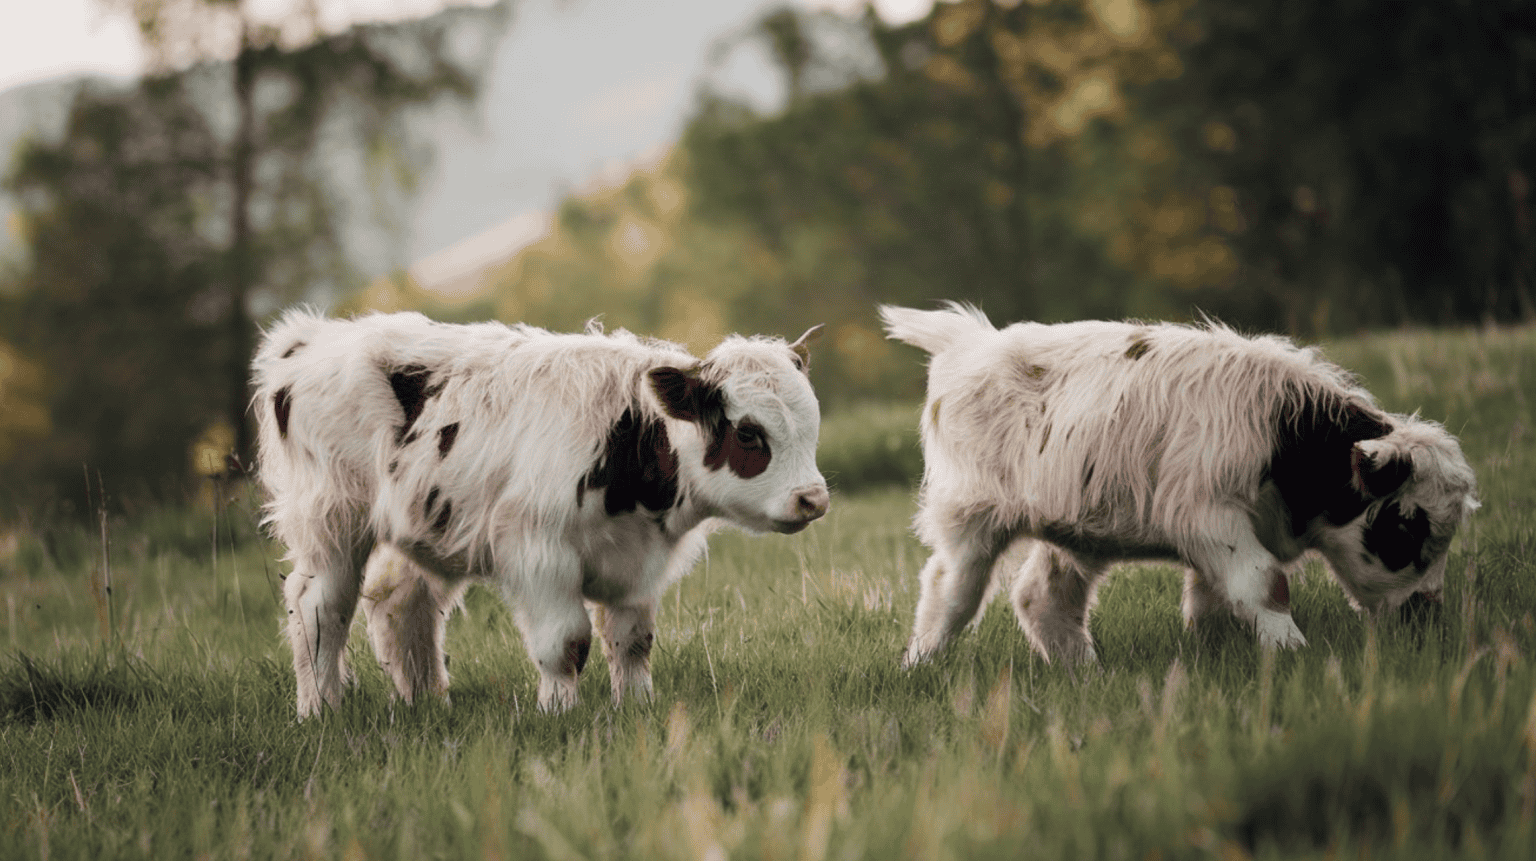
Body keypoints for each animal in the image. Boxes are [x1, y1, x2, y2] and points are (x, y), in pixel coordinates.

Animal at [251, 310, 829, 717]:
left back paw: (427, 704)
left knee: (400, 603)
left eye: (812, 422)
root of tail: (309, 341)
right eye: (749, 432)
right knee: (319, 609)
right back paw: (321, 709)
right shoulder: (539, 554)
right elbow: (566, 643)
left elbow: (633, 642)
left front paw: (636, 706)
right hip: (331, 523)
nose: (814, 499)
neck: (629, 438)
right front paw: (559, 712)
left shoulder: (637, 569)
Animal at [879, 302, 1478, 668]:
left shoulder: (1221, 534)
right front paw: (1290, 650)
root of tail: (970, 342)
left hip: (1074, 530)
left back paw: (1086, 674)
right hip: (969, 522)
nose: (1425, 613)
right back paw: (919, 665)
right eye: (1404, 530)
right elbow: (1266, 583)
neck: (1284, 437)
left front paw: (1221, 654)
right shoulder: (1211, 517)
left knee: (1043, 597)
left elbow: (1213, 600)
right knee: (950, 591)